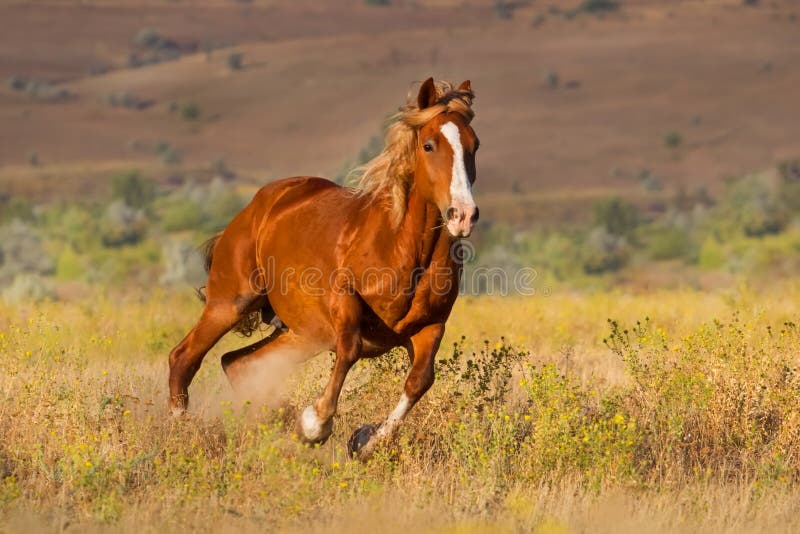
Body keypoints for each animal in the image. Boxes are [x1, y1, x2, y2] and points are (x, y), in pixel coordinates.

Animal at [167, 78, 479, 459]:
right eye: (429, 145)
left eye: (474, 145)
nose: (463, 215)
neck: (401, 247)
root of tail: (255, 208)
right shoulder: (343, 302)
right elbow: (349, 350)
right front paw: (313, 426)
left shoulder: (430, 326)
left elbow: (420, 380)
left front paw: (366, 440)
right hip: (230, 304)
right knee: (183, 358)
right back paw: (185, 434)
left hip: (302, 334)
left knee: (237, 363)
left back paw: (268, 421)